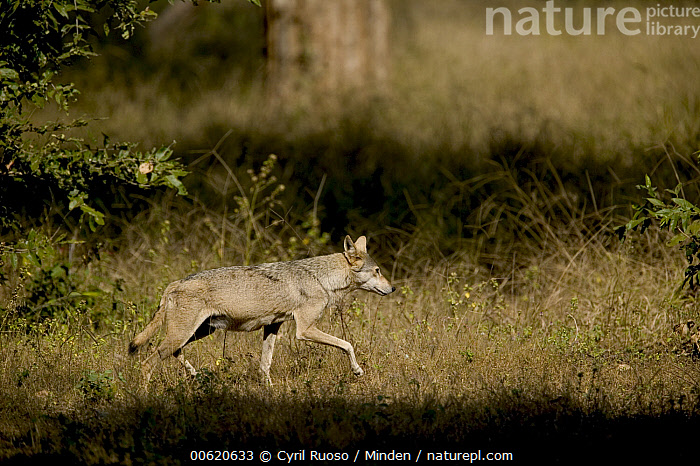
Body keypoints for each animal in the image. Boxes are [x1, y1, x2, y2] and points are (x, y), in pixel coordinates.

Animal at [129, 235, 395, 384]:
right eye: (378, 271)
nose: (392, 288)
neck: (321, 279)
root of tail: (175, 283)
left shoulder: (273, 326)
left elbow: (264, 365)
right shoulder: (304, 330)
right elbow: (347, 344)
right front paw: (357, 370)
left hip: (199, 332)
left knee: (173, 354)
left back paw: (195, 375)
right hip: (184, 334)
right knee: (148, 363)